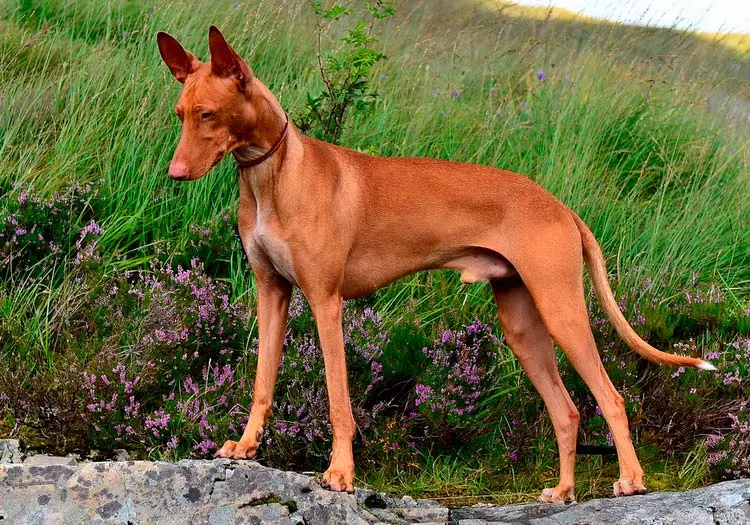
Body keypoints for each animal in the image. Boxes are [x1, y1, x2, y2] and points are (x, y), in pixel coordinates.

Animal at [156, 26, 712, 502]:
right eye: (180, 113)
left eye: (208, 114)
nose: (175, 174)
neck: (273, 177)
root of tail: (560, 206)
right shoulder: (272, 293)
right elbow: (261, 384)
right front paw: (246, 446)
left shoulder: (326, 302)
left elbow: (338, 402)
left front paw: (340, 473)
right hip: (521, 326)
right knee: (568, 410)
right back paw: (564, 491)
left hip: (562, 311)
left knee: (611, 398)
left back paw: (632, 481)